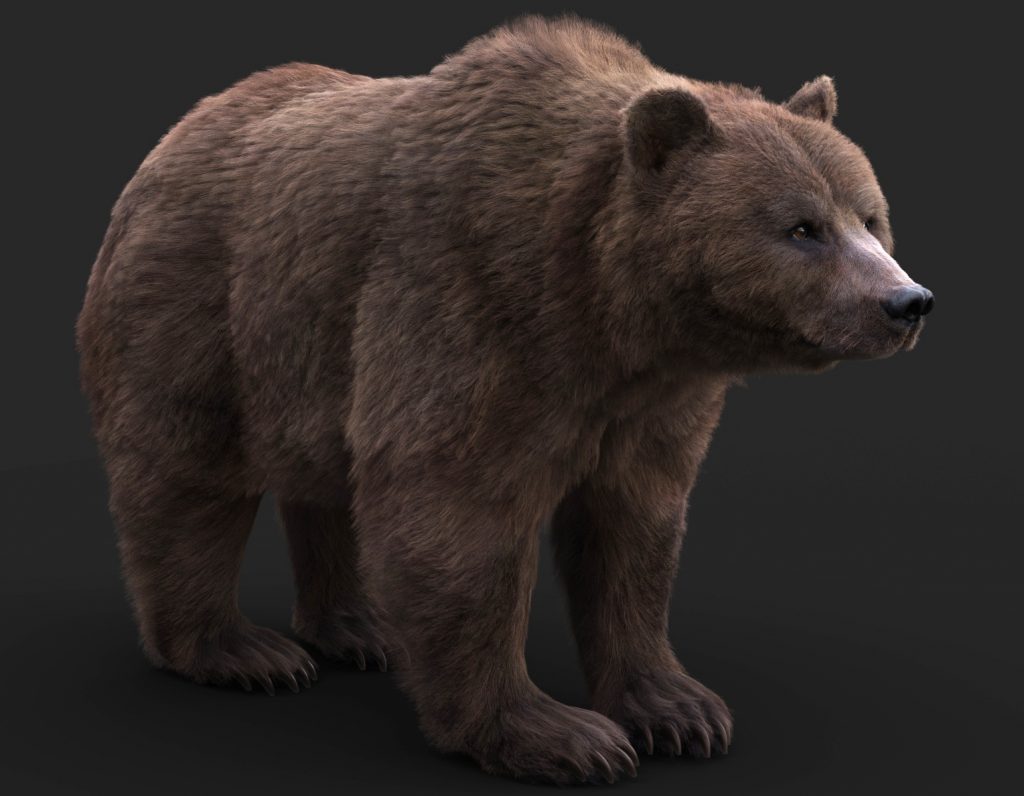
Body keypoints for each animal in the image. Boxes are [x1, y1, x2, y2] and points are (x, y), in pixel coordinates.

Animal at [75, 12, 933, 785]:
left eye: (870, 216)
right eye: (801, 228)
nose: (906, 302)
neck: (608, 314)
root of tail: (176, 136)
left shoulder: (651, 402)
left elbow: (633, 531)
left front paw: (681, 711)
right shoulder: (471, 306)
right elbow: (458, 516)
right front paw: (561, 735)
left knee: (324, 481)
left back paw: (360, 630)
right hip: (204, 302)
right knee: (188, 476)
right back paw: (244, 651)